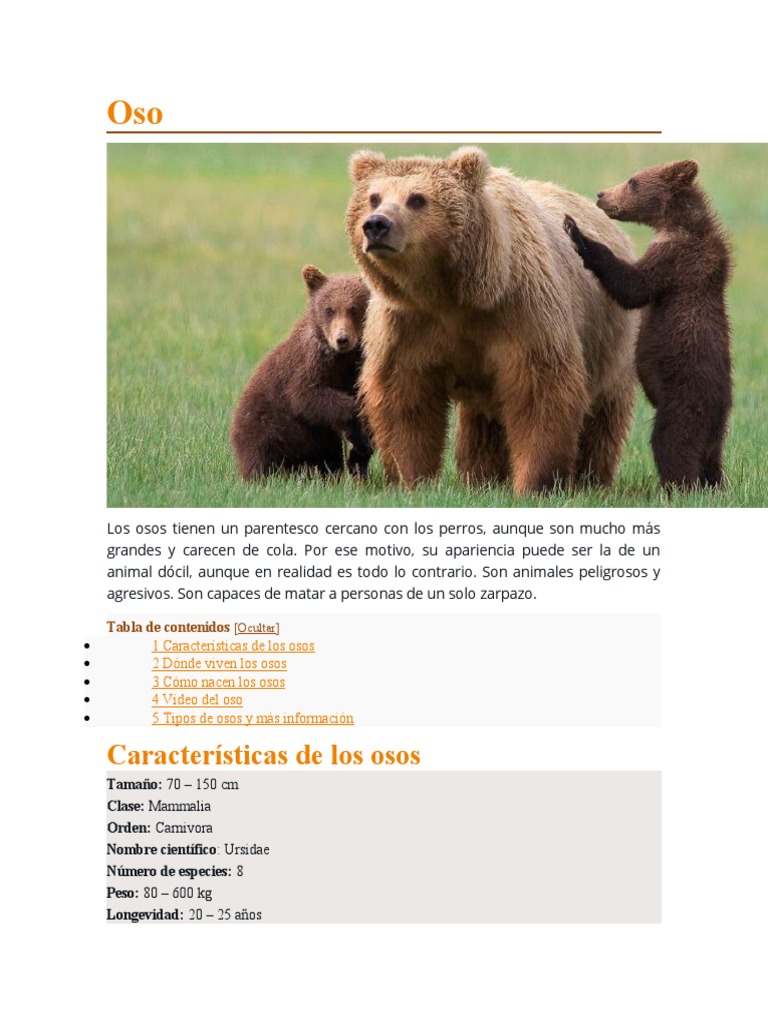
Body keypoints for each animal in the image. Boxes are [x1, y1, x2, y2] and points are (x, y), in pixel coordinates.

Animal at [231, 265, 373, 480]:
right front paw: (358, 429)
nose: (342, 339)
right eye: (329, 310)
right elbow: (307, 394)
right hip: (264, 426)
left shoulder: (356, 367)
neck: (340, 358)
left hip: (316, 438)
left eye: (354, 309)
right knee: (261, 456)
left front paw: (360, 452)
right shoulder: (309, 364)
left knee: (329, 453)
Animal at [345, 146, 639, 494]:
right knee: (483, 426)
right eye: (374, 197)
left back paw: (589, 479)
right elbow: (405, 400)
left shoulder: (521, 311)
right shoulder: (408, 323)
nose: (377, 224)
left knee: (601, 416)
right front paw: (411, 479)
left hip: (611, 343)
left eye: (417, 198)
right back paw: (482, 478)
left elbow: (539, 393)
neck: (452, 294)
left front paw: (533, 482)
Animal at [563, 159, 732, 488]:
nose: (602, 195)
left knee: (673, 444)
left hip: (685, 399)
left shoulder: (676, 260)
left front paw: (577, 233)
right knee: (711, 460)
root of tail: (721, 409)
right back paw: (714, 485)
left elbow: (634, 286)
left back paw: (677, 487)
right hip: (716, 430)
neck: (677, 223)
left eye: (633, 181)